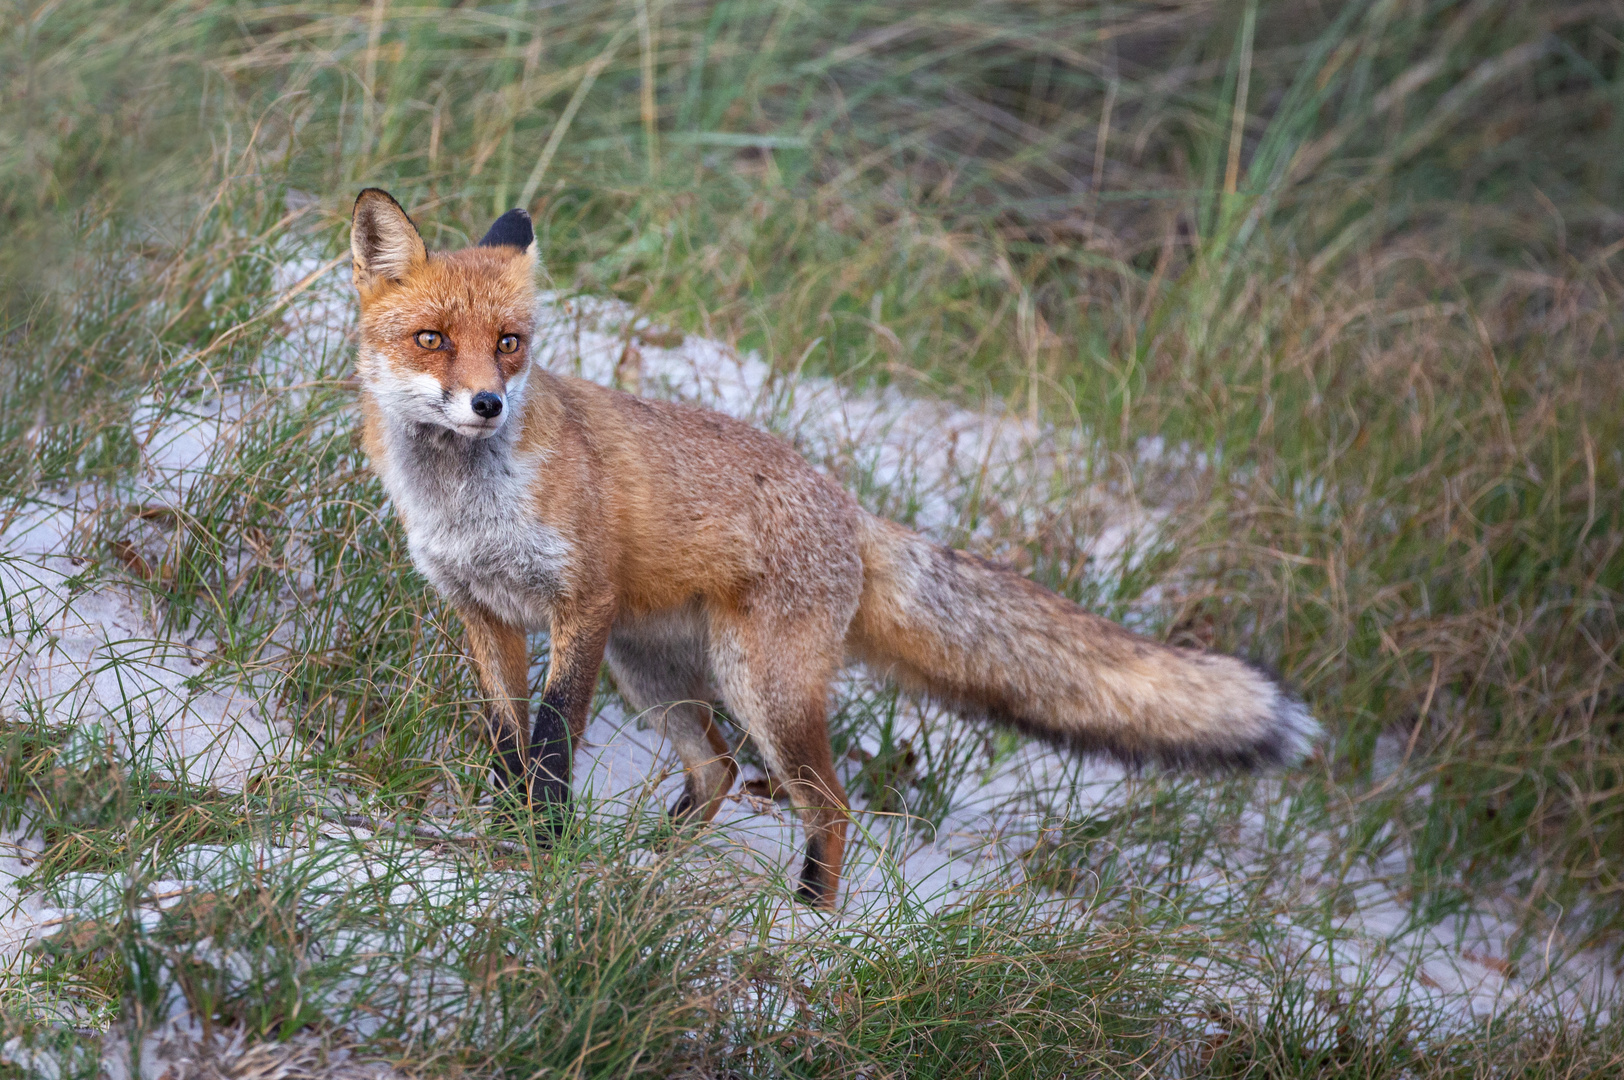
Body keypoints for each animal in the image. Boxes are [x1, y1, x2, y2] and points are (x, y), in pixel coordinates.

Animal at [347, 187, 1319, 907]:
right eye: (433, 339)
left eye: (510, 345)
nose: (487, 406)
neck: (469, 505)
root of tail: (850, 507)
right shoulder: (483, 613)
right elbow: (507, 745)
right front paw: (507, 838)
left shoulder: (576, 609)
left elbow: (551, 748)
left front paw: (544, 848)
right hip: (658, 672)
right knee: (719, 770)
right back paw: (651, 861)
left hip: (758, 686)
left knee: (829, 801)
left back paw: (810, 914)